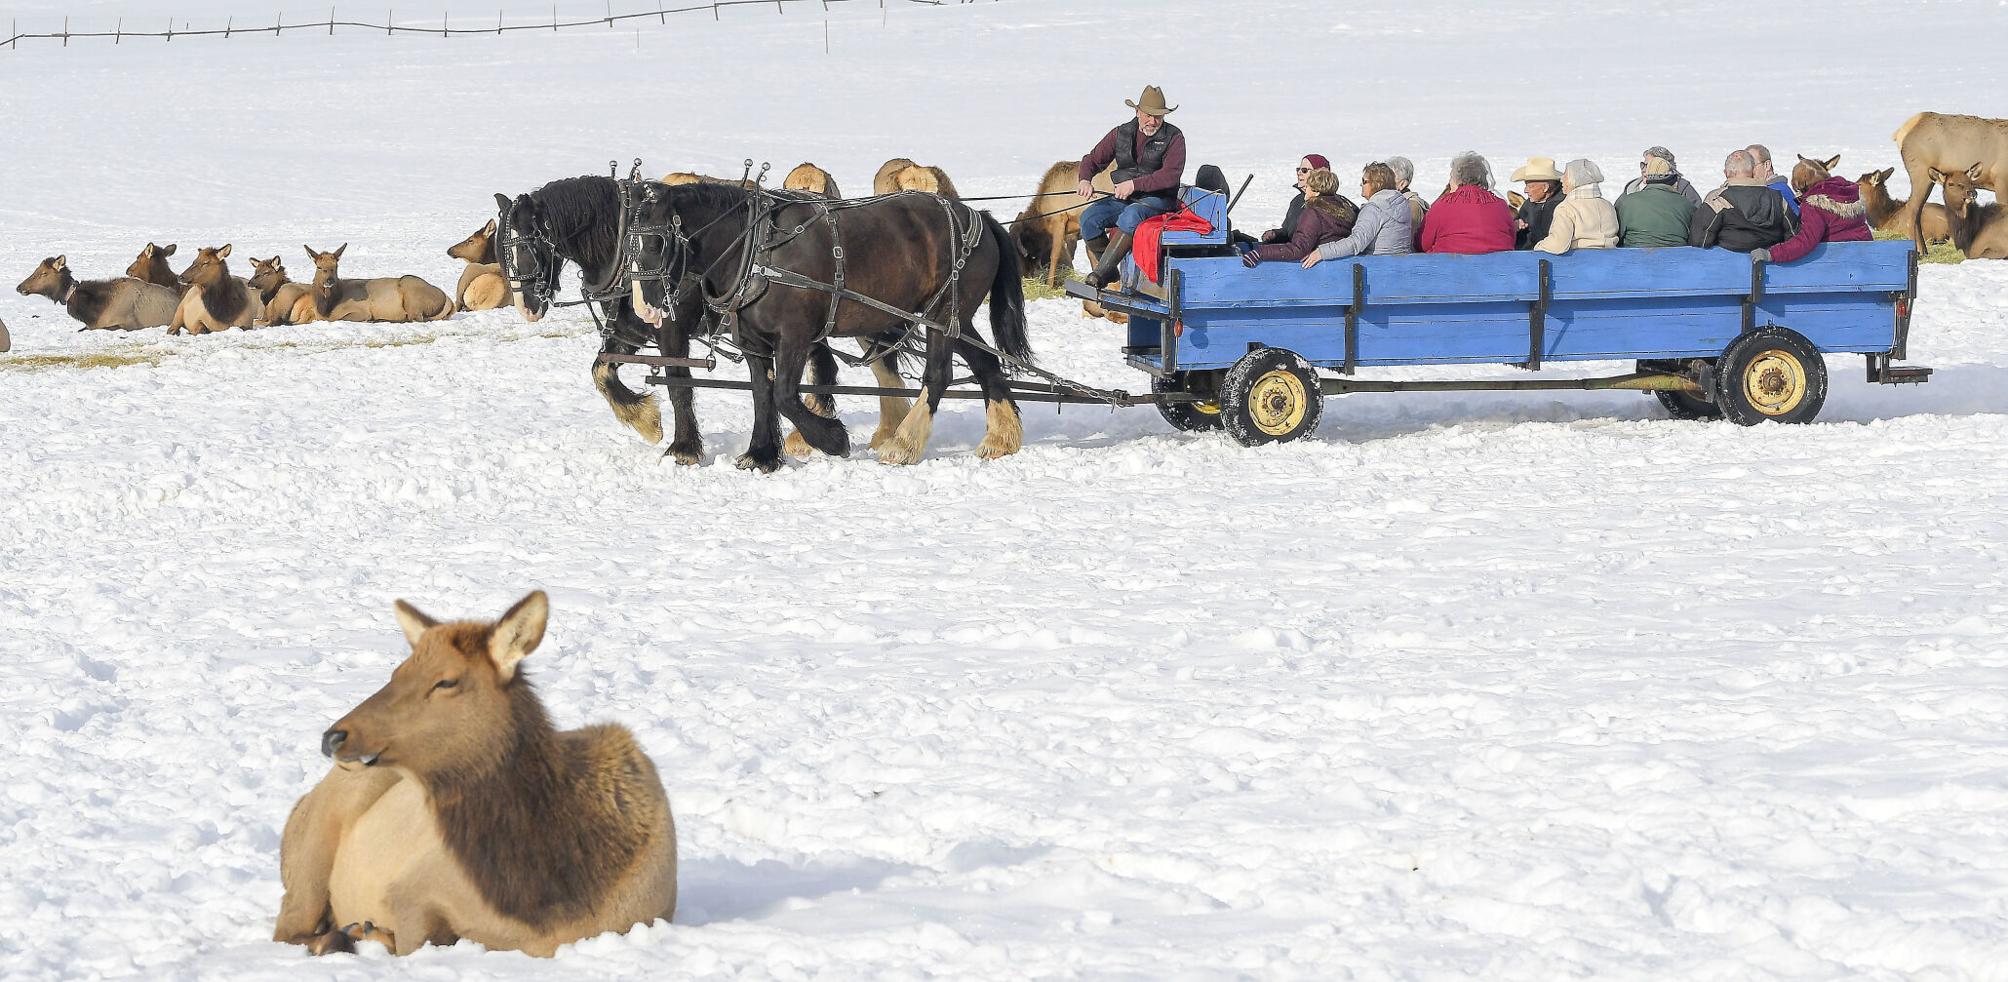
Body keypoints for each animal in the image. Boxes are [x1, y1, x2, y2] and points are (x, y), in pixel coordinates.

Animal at [273, 591, 678, 957]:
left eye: (446, 681)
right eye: (397, 672)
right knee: (289, 929)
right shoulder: (411, 887)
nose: (333, 736)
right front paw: (368, 932)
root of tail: (302, 801)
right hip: (313, 849)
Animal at [304, 244, 455, 323]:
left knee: (415, 318)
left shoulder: (361, 311)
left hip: (412, 292)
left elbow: (341, 319)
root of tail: (448, 300)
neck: (326, 308)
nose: (330, 280)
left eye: (336, 266)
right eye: (319, 266)